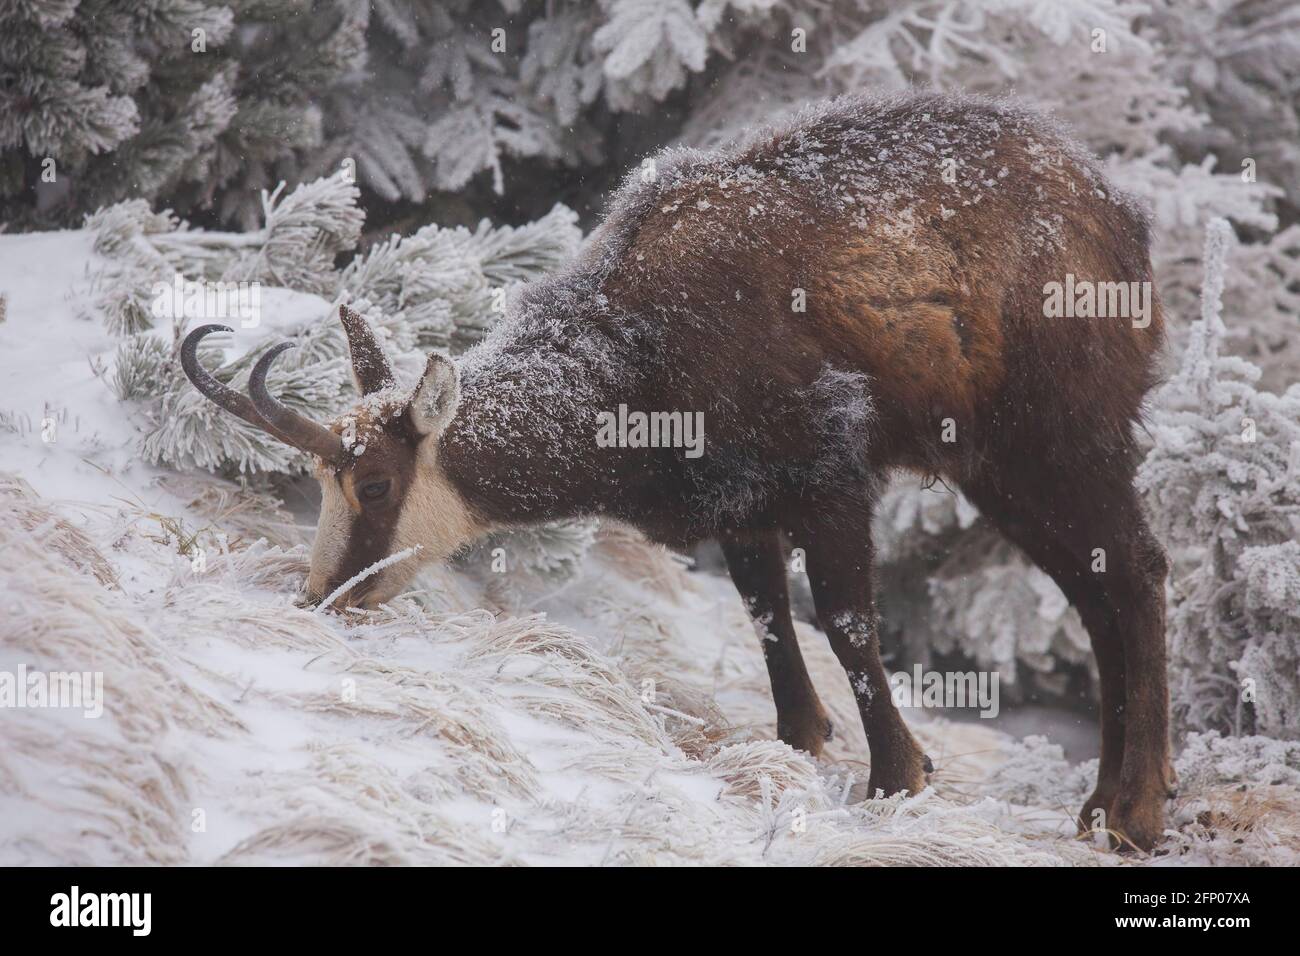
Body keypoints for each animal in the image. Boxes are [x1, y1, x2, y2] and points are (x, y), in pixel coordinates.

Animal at [181, 90, 1174, 851]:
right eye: (320, 483)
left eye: (376, 484)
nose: (321, 596)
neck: (636, 358)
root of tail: (1126, 225)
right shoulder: (743, 506)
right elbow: (767, 616)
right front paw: (799, 745)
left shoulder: (831, 467)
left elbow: (847, 622)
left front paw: (899, 779)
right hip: (996, 467)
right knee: (1095, 592)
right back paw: (1097, 804)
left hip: (1059, 433)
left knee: (1138, 569)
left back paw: (1136, 812)